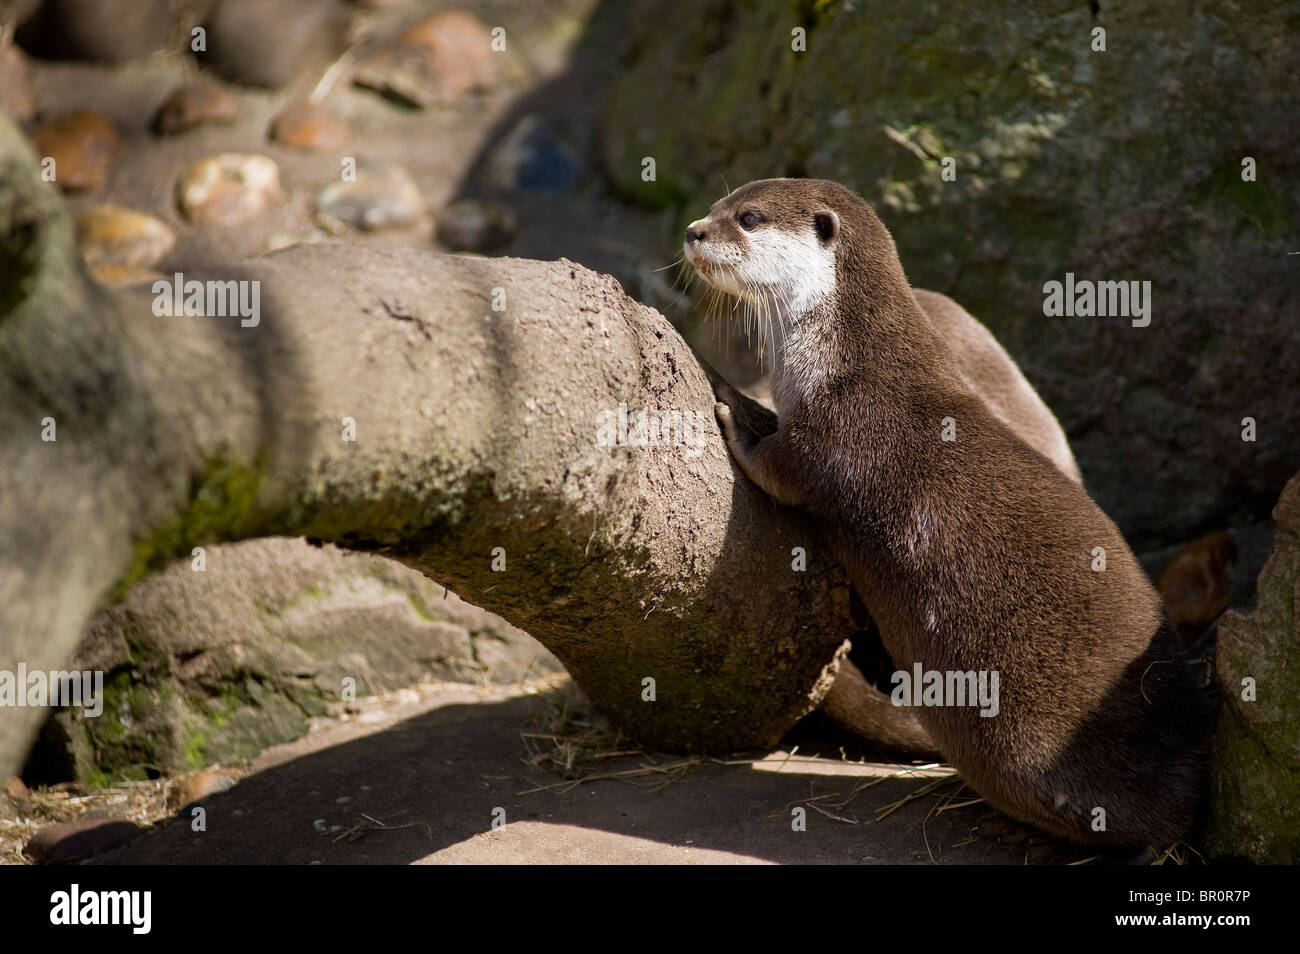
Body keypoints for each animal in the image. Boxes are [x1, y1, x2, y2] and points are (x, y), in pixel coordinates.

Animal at [685, 178, 1214, 846]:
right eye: (719, 204)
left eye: (748, 218)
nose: (694, 231)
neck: (843, 359)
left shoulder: (838, 430)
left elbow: (777, 469)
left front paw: (730, 410)